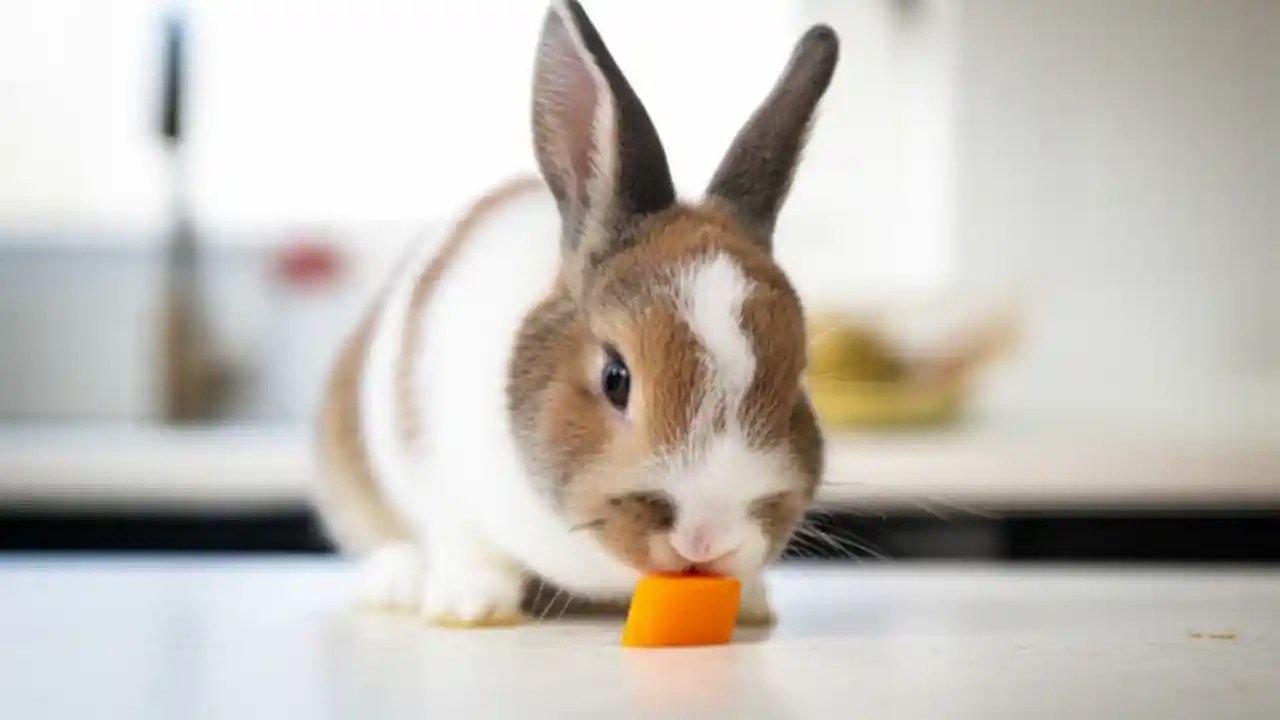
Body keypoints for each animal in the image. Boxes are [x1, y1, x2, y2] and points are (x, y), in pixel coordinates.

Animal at [315, 0, 838, 627]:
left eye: (796, 388)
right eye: (616, 379)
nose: (706, 537)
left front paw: (753, 602)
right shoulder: (438, 477)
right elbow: (466, 542)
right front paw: (473, 605)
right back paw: (399, 580)